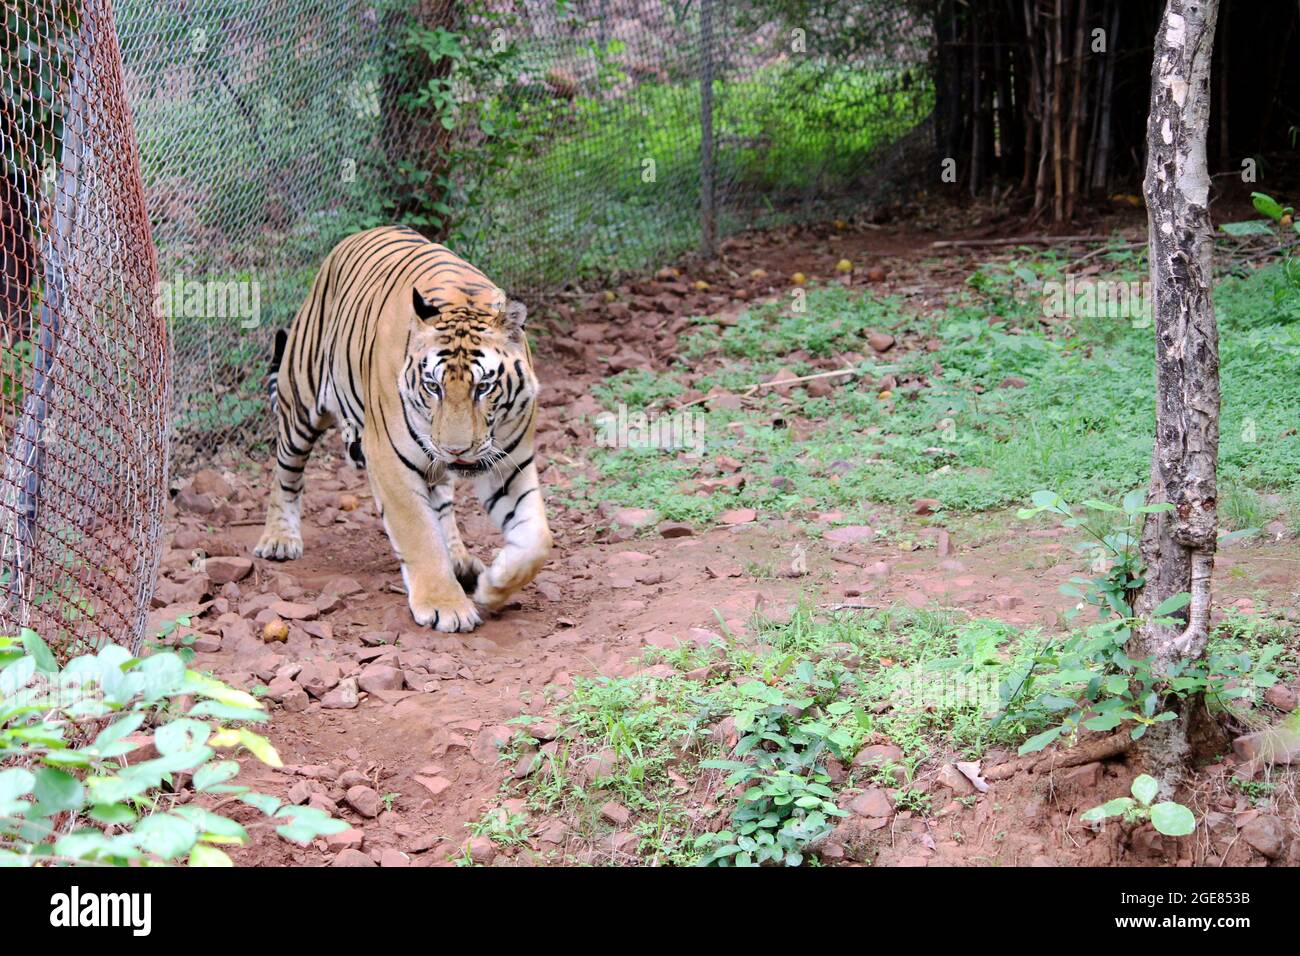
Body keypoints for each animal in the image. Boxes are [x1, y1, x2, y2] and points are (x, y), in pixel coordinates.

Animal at [253, 225, 553, 632]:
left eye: (483, 387)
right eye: (433, 386)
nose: (456, 450)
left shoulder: (510, 462)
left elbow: (536, 538)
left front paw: (494, 586)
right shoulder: (389, 460)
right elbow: (418, 533)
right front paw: (446, 606)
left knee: (442, 503)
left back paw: (460, 561)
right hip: (300, 399)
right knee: (286, 474)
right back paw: (279, 539)